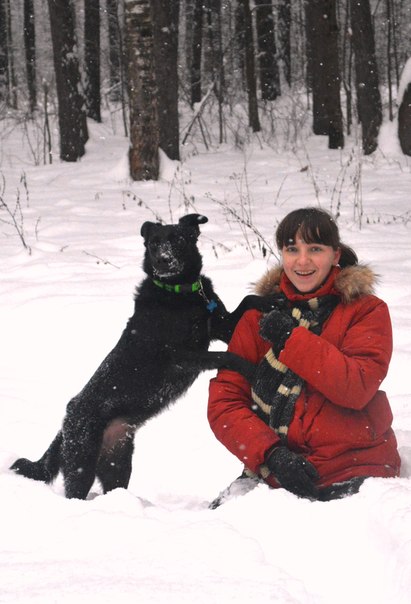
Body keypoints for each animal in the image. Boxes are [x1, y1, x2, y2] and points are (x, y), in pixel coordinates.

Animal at [10, 214, 262, 499]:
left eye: (178, 240)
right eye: (154, 244)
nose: (163, 260)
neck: (179, 291)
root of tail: (66, 424)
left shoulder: (223, 325)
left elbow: (248, 300)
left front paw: (273, 304)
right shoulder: (182, 356)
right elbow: (225, 355)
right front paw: (252, 368)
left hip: (117, 463)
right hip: (81, 464)